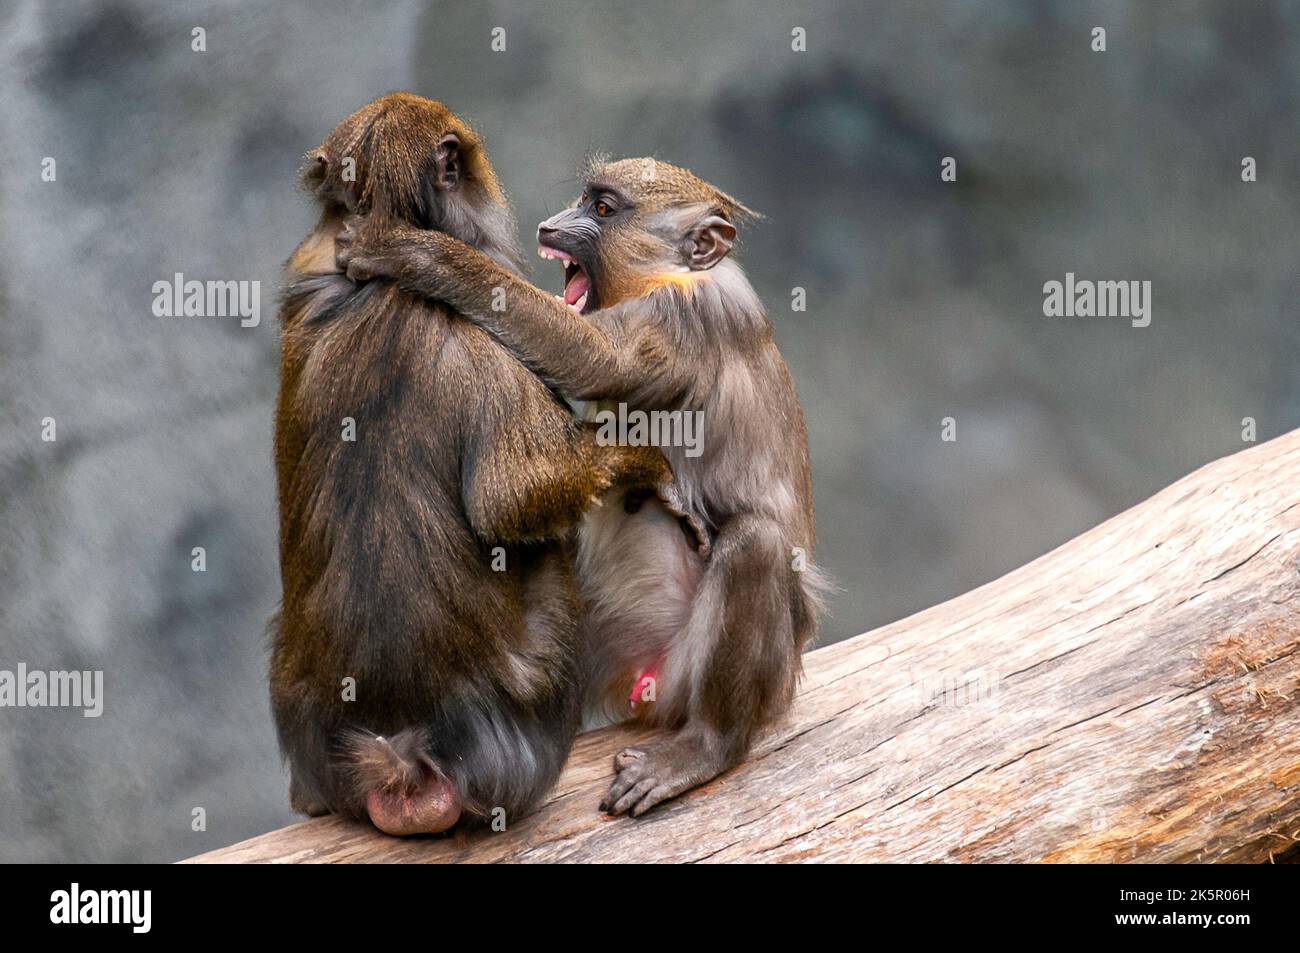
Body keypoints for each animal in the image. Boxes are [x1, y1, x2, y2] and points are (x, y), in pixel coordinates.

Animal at [336, 156, 828, 817]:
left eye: (602, 208)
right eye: (582, 199)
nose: (550, 225)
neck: (672, 275)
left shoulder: (684, 320)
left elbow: (592, 358)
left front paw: (409, 252)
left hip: (705, 668)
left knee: (756, 544)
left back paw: (706, 747)